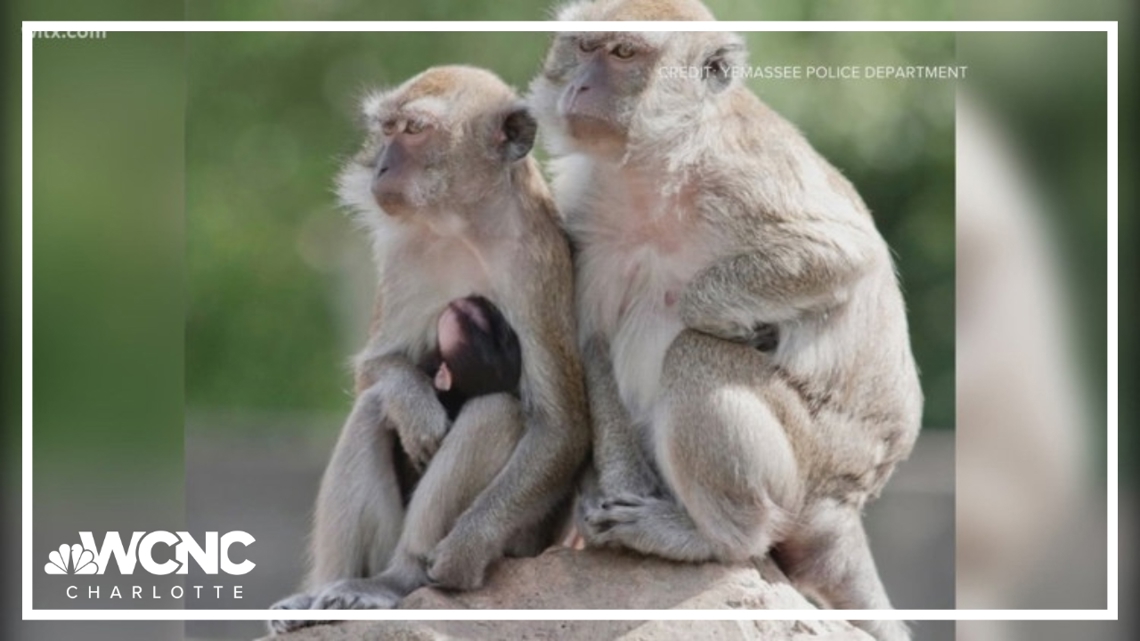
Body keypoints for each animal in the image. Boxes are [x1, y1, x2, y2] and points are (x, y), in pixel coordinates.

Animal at [268, 66, 589, 635]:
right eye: (388, 128)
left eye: (415, 130)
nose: (382, 165)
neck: (466, 227)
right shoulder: (403, 254)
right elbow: (374, 373)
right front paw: (414, 403)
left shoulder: (538, 266)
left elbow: (561, 427)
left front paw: (461, 554)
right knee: (371, 410)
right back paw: (324, 591)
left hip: (524, 542)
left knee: (496, 412)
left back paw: (401, 578)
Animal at [528, 2, 923, 639]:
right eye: (584, 47)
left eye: (624, 54)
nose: (581, 86)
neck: (654, 169)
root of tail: (849, 505)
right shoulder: (584, 210)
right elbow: (592, 340)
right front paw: (613, 491)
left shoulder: (742, 173)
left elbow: (844, 255)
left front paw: (729, 319)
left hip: (809, 470)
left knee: (696, 355)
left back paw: (716, 538)